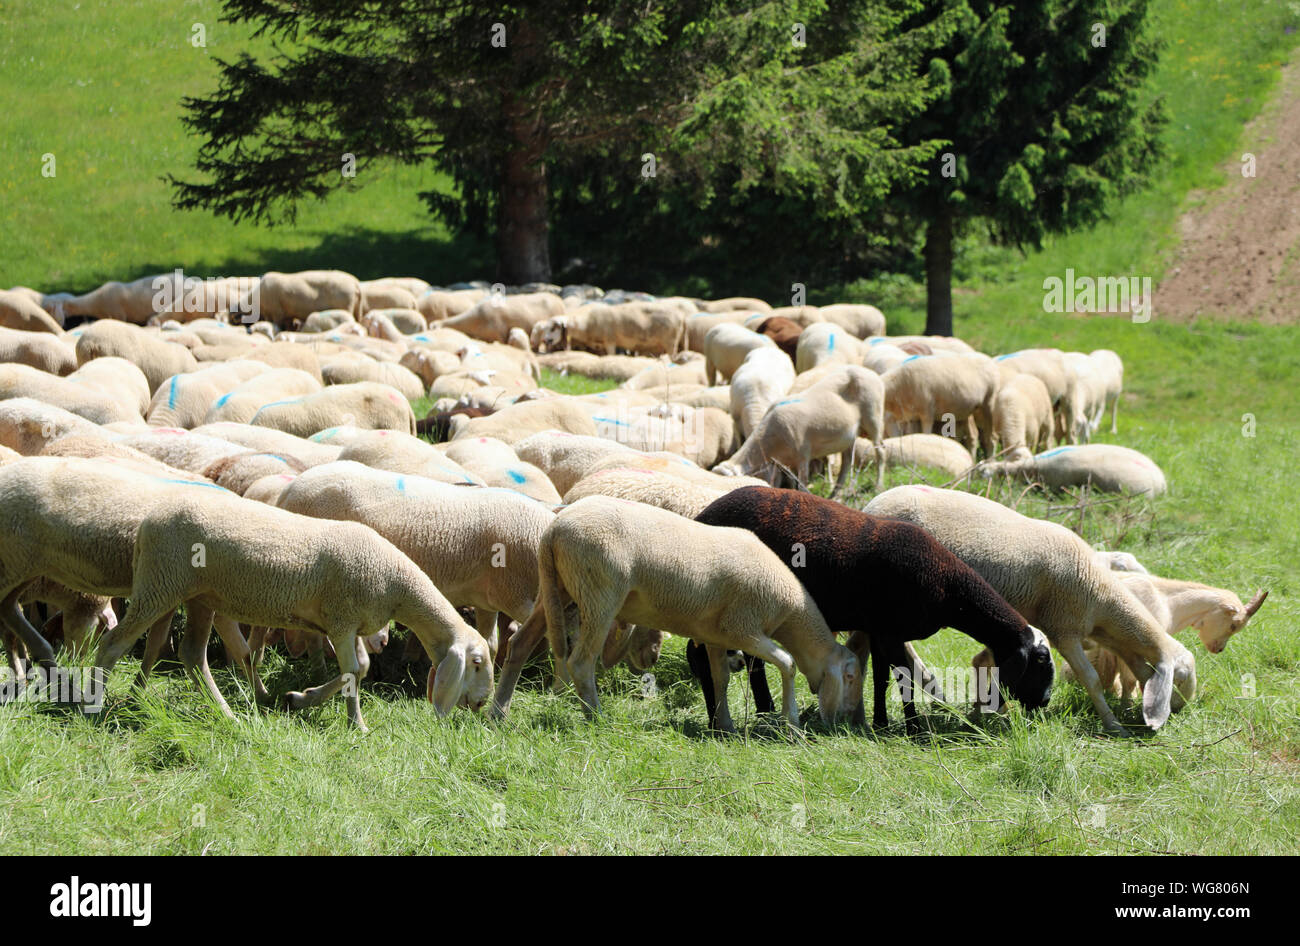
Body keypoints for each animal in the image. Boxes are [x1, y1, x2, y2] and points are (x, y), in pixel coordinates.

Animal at [94, 484, 493, 729]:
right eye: (476, 663)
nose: (481, 704)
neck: (397, 586)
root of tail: (147, 523)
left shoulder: (348, 621)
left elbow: (361, 668)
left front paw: (300, 698)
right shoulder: (342, 619)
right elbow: (352, 670)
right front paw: (357, 724)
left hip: (197, 596)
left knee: (193, 655)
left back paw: (227, 715)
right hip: (160, 584)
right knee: (113, 643)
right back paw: (93, 706)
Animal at [527, 495, 861, 730]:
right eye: (850, 677)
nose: (845, 724)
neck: (789, 607)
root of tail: (555, 528)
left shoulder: (716, 635)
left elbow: (720, 678)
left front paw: (725, 726)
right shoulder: (744, 628)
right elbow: (788, 663)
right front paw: (791, 723)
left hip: (562, 591)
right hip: (600, 597)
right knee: (581, 662)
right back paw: (596, 717)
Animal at [695, 487, 1054, 728]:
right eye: (1039, 660)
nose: (1046, 701)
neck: (947, 586)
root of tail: (702, 515)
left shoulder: (882, 629)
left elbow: (882, 677)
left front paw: (880, 722)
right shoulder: (890, 631)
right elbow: (903, 679)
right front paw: (913, 728)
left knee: (748, 658)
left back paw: (763, 709)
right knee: (700, 655)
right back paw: (718, 719)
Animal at [714, 365, 886, 495]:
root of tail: (871, 373)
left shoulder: (803, 456)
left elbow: (802, 484)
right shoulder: (782, 463)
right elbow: (785, 482)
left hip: (873, 417)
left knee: (880, 451)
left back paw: (878, 486)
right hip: (849, 435)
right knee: (847, 462)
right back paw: (837, 494)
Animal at [864, 485, 1197, 731]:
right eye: (1181, 677)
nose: (1181, 710)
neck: (1101, 597)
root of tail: (870, 506)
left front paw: (984, 710)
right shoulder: (1064, 628)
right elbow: (1090, 678)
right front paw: (1113, 724)